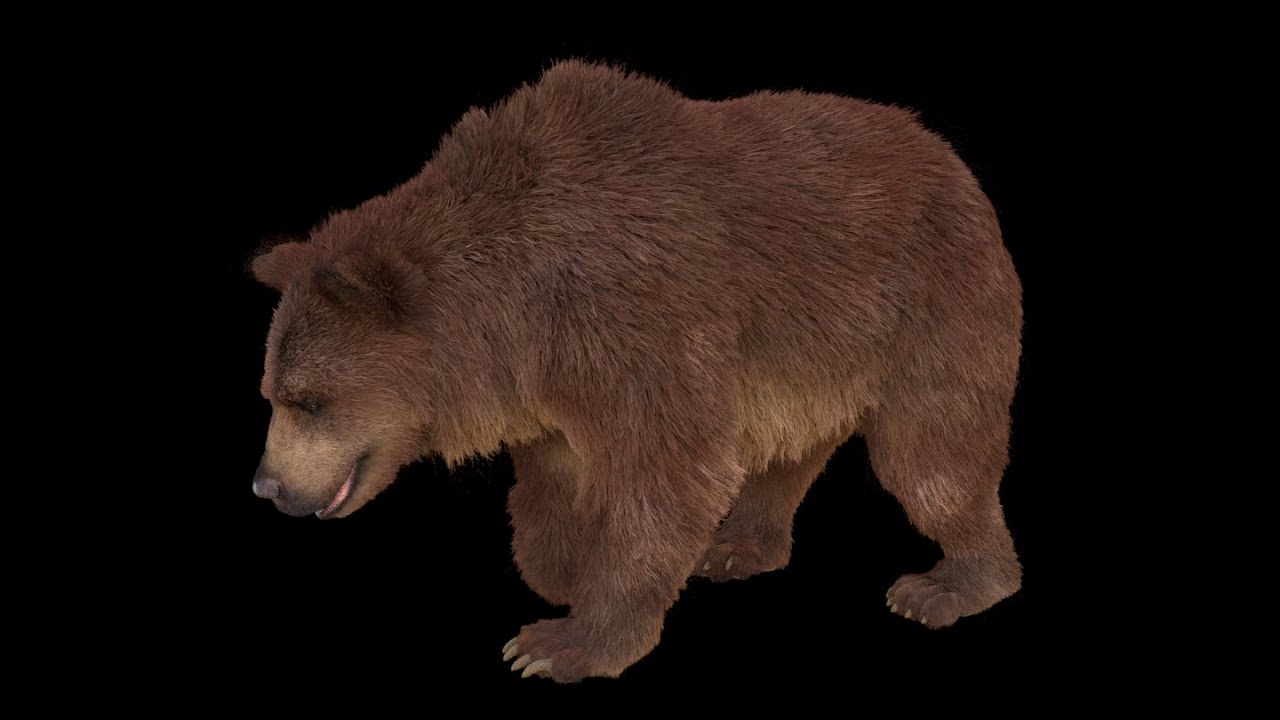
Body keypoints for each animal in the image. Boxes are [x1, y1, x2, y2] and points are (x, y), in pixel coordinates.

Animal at [250, 60, 1023, 682]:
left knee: (932, 456)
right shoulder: (550, 388)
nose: (266, 485)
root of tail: (952, 160)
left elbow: (668, 471)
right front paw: (564, 571)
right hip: (812, 362)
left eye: (309, 400)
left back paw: (946, 587)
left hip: (928, 305)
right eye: (270, 394)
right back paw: (736, 546)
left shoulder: (631, 316)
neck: (510, 312)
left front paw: (560, 644)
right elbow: (555, 483)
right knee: (791, 451)